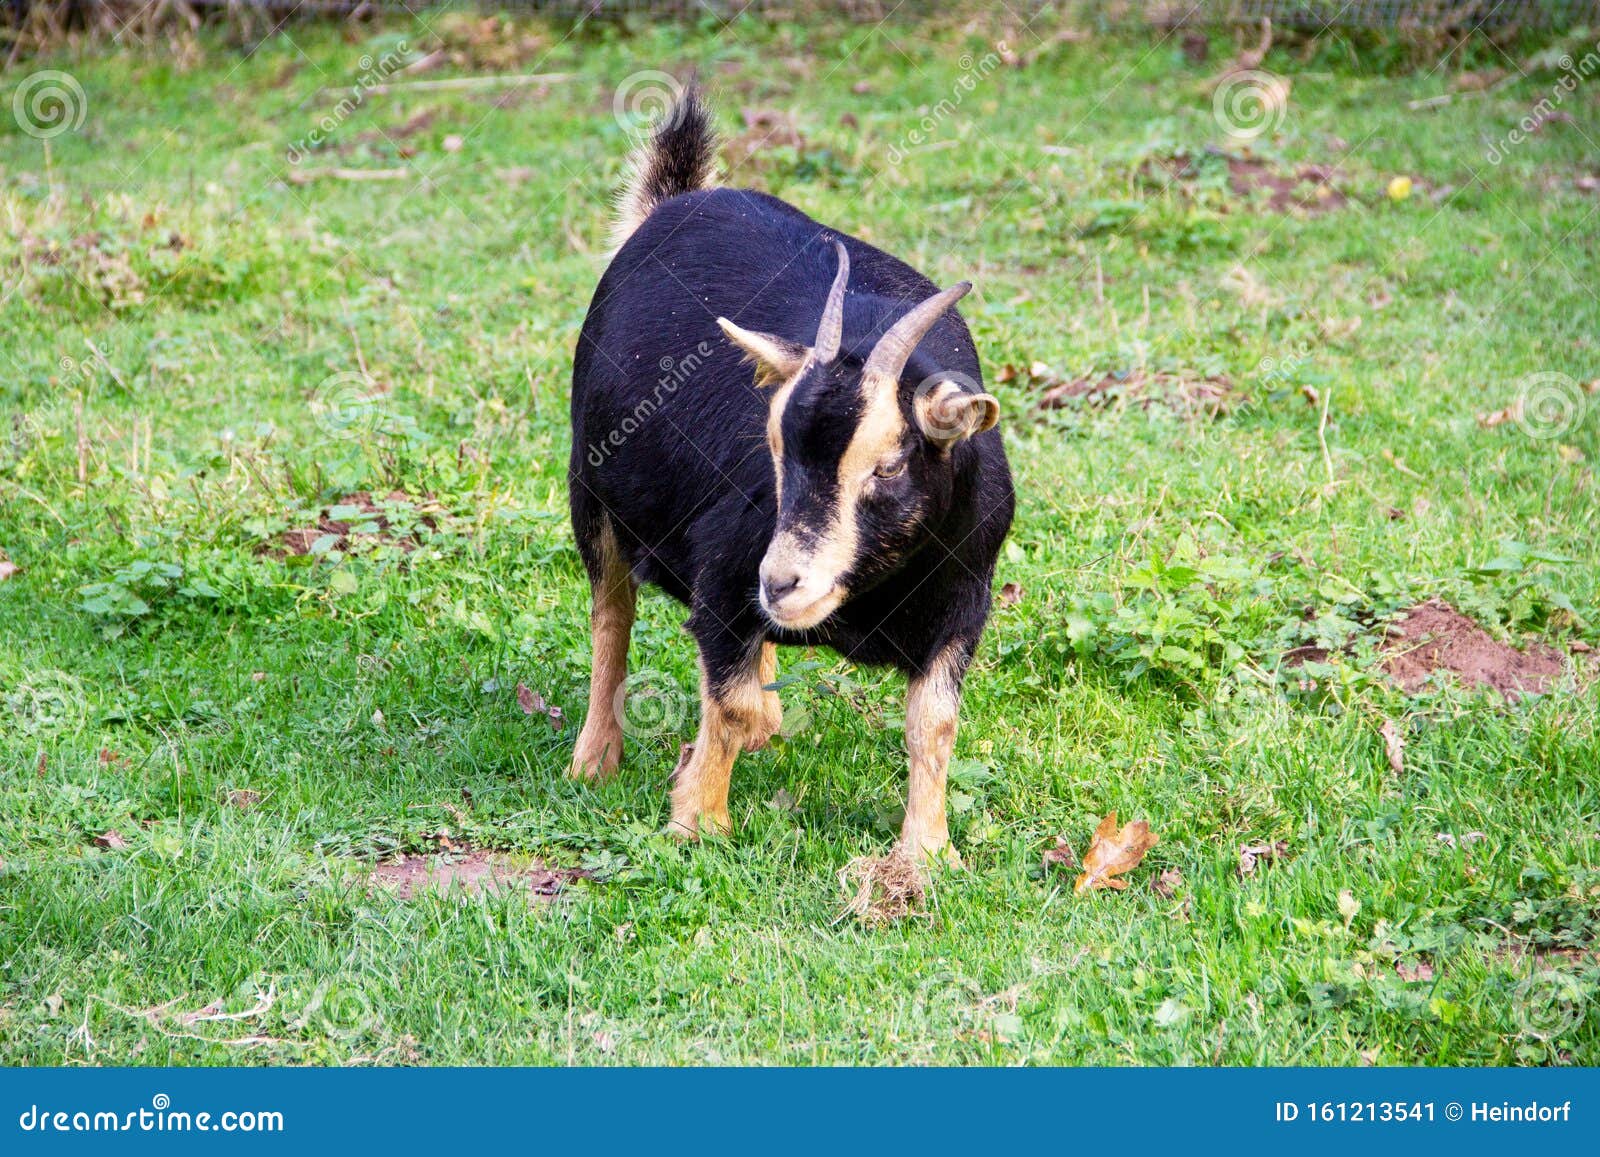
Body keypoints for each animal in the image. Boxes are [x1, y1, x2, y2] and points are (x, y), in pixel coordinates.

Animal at [568, 83, 1014, 863]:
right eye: (773, 446)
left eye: (888, 465)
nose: (782, 580)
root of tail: (674, 203)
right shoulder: (722, 575)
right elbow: (732, 700)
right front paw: (697, 818)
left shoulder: (966, 600)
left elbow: (933, 722)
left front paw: (927, 853)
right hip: (591, 492)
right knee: (611, 615)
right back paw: (596, 758)